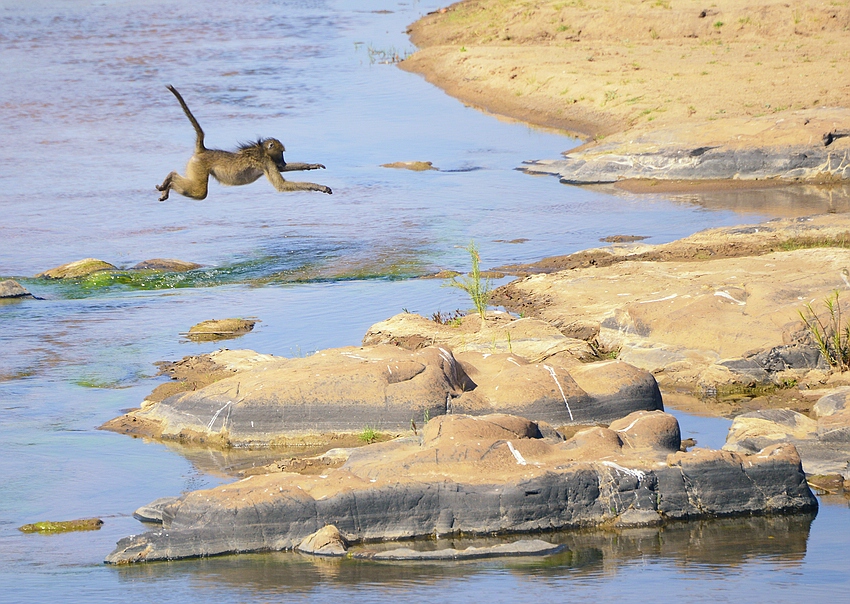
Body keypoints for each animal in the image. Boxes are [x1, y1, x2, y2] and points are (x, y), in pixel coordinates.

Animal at [156, 85, 332, 201]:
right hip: (198, 165)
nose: (282, 161)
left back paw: (166, 186)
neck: (261, 150)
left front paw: (311, 165)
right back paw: (169, 180)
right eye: (281, 153)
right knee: (199, 192)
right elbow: (282, 185)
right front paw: (321, 187)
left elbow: (284, 172)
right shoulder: (266, 161)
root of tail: (203, 150)